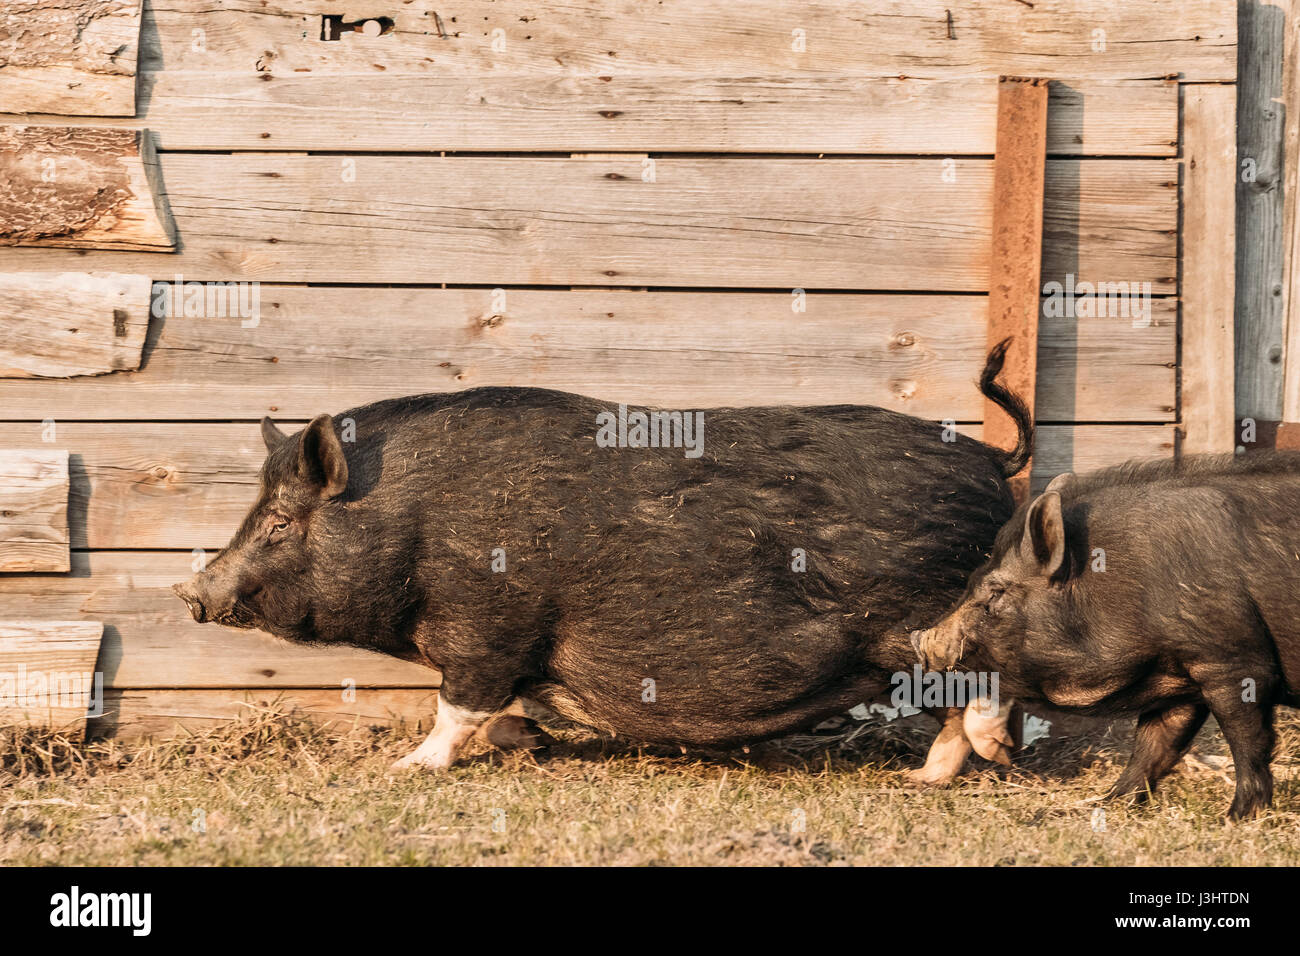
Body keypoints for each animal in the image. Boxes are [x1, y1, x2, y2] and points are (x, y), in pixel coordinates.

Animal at [174, 342, 1032, 775]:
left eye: (279, 521)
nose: (190, 590)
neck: (410, 524)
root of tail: (992, 462)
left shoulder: (488, 629)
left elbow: (459, 708)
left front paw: (405, 770)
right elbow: (499, 715)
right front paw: (531, 741)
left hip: (928, 624)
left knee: (982, 678)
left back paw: (983, 756)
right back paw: (926, 777)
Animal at [916, 454, 1300, 819]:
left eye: (995, 593)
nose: (919, 639)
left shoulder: (1233, 662)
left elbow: (1247, 739)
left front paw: (1236, 818)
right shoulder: (1178, 676)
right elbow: (1155, 743)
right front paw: (1107, 804)